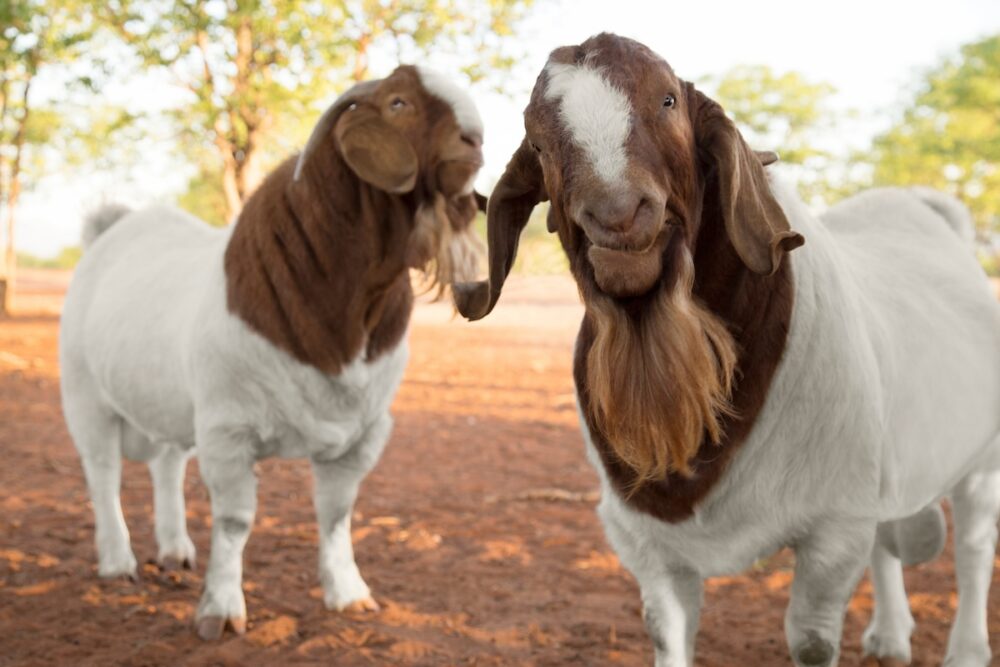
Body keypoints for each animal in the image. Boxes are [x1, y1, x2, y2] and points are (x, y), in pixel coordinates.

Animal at [60, 65, 485, 640]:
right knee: (102, 471)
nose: (476, 140)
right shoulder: (229, 430)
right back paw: (117, 562)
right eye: (399, 102)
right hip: (85, 395)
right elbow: (235, 521)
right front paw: (220, 611)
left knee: (167, 464)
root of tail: (110, 230)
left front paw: (349, 595)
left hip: (170, 401)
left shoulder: (362, 434)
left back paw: (174, 551)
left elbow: (336, 513)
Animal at [455, 33, 1000, 667]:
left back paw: (966, 648)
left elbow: (812, 641)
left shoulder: (833, 527)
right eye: (538, 142)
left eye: (668, 100)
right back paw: (889, 636)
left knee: (974, 547)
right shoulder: (644, 542)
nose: (618, 215)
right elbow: (668, 631)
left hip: (979, 461)